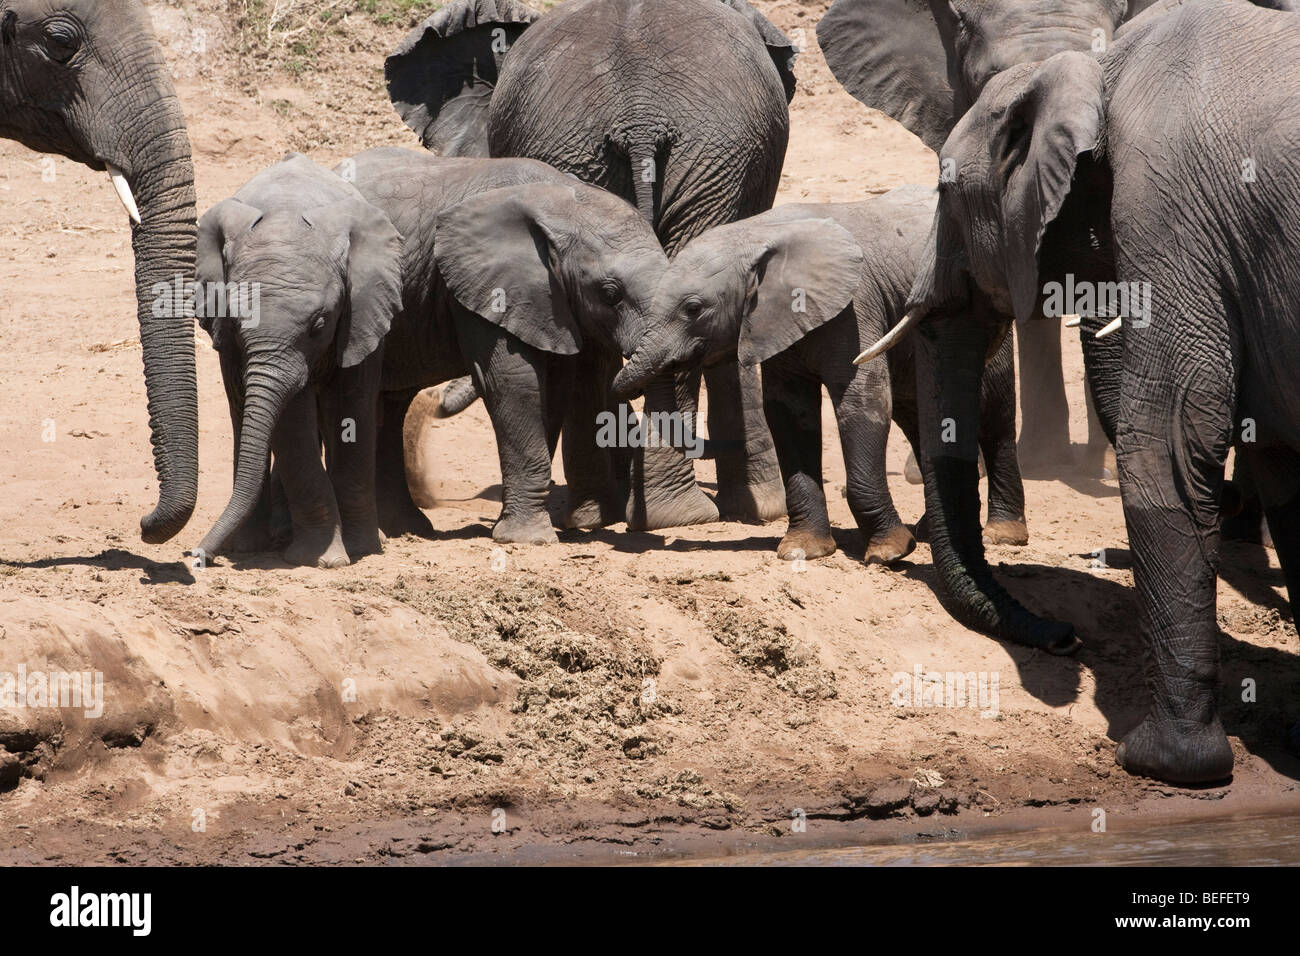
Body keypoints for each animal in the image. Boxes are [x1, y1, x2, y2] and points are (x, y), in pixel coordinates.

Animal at [194, 155, 403, 568]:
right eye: (236, 323)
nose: (198, 556)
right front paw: (323, 559)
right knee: (243, 412)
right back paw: (250, 545)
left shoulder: (362, 311)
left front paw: (359, 551)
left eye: (319, 324)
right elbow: (291, 422)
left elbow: (352, 408)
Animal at [385, 0, 797, 526]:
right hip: (657, 156)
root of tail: (640, 119)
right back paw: (654, 514)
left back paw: (628, 513)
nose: (431, 405)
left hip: (700, 157)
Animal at [612, 185, 1026, 565]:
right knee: (918, 417)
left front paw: (889, 552)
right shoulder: (774, 323)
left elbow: (863, 402)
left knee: (993, 415)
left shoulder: (856, 306)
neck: (757, 234)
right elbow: (789, 415)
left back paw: (1003, 533)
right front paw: (803, 550)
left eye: (693, 308)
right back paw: (930, 529)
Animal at [864, 0, 1300, 783]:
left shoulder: (1172, 215)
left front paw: (1162, 761)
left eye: (945, 190)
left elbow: (1167, 446)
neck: (1093, 67)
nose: (1064, 637)